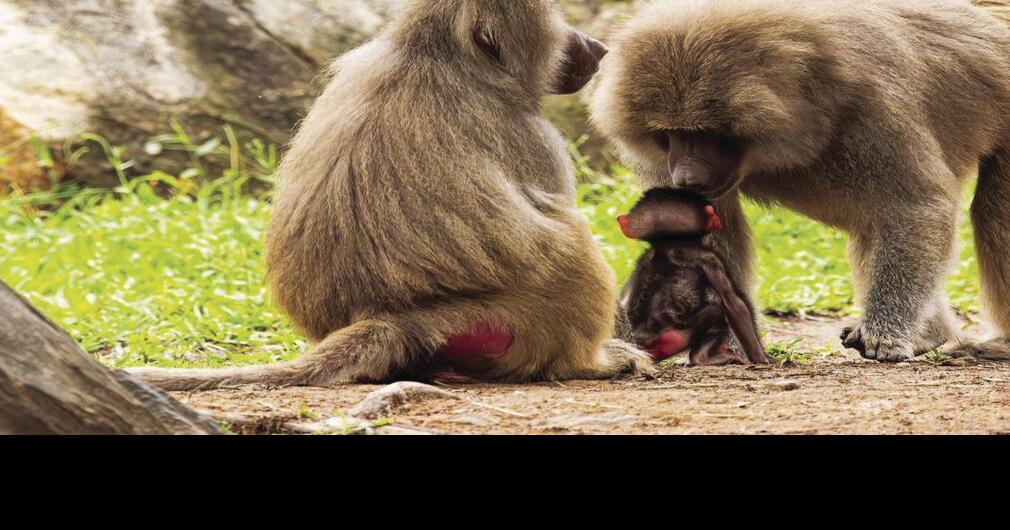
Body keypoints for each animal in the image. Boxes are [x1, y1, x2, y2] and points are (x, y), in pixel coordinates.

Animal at [127, 0, 654, 391]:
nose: (597, 47)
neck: (437, 52)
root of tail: (394, 317)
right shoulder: (535, 136)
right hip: (513, 318)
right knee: (568, 237)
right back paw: (588, 362)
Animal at [619, 188, 769, 366]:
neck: (670, 241)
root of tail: (643, 338)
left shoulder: (642, 260)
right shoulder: (710, 258)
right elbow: (733, 302)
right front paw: (761, 357)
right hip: (674, 337)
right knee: (716, 311)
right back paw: (701, 357)